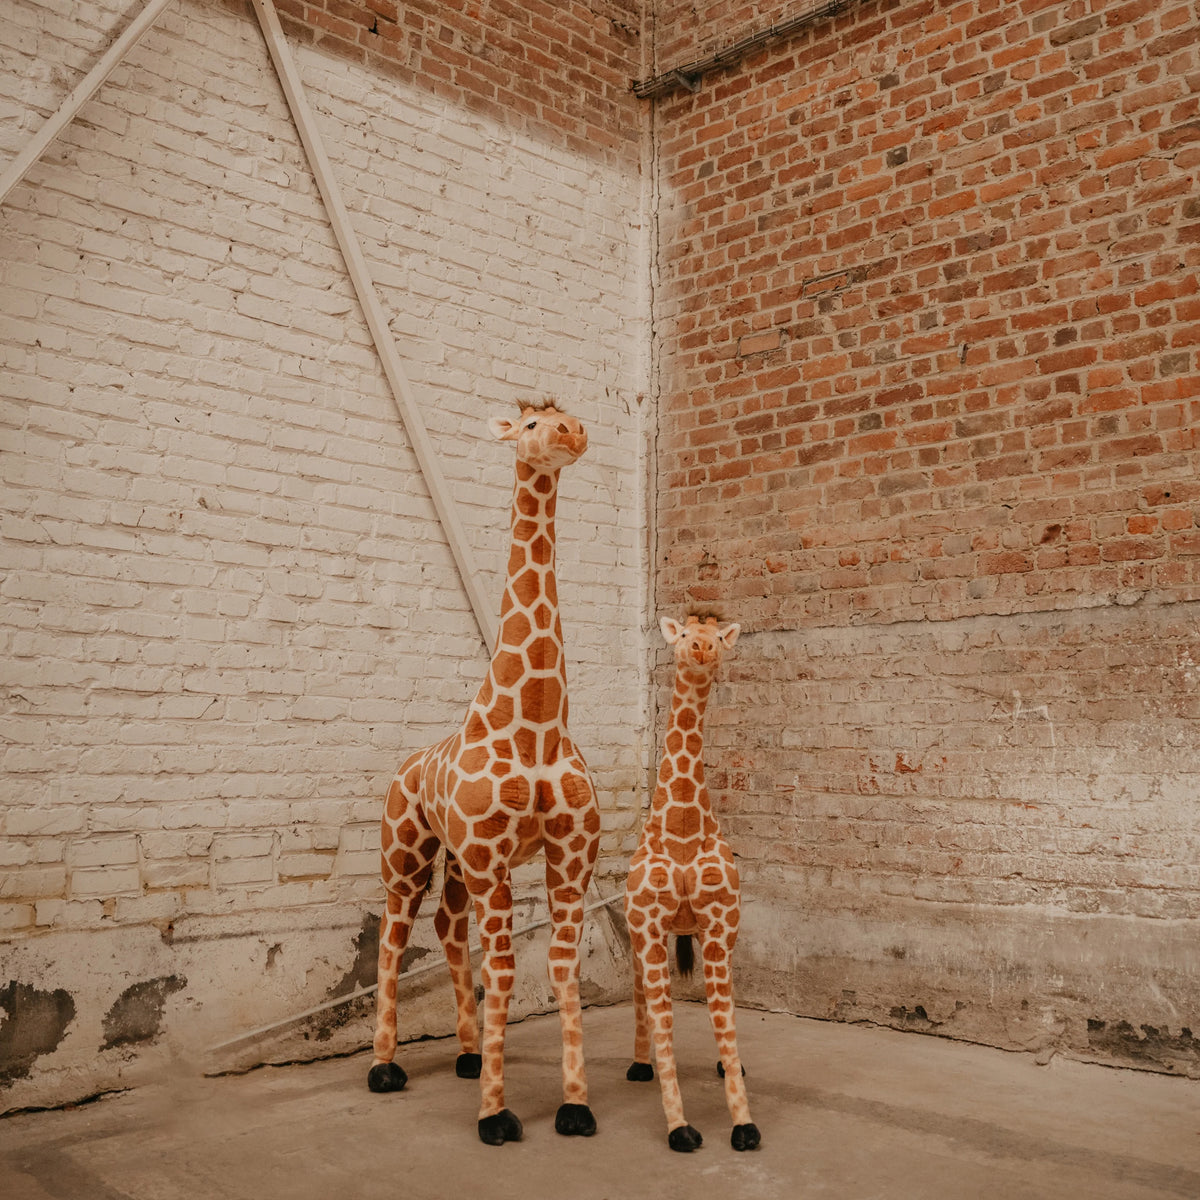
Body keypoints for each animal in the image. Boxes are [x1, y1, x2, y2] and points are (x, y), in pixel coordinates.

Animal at [367, 403, 601, 1147]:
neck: (534, 726)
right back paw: (384, 1067)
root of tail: (406, 765)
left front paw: (575, 1106)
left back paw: (469, 1055)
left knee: (447, 927)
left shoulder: (569, 854)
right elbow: (503, 967)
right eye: (529, 424)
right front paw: (496, 1117)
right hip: (406, 853)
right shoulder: (492, 854)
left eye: (567, 416)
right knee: (393, 935)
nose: (572, 434)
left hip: (454, 862)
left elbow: (561, 966)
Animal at [624, 614, 760, 1153]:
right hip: (642, 934)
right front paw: (679, 1127)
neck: (681, 833)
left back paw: (729, 1066)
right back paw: (640, 1065)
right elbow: (664, 1019)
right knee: (642, 995)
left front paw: (743, 1122)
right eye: (682, 635)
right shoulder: (648, 924)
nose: (702, 649)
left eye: (719, 637)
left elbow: (723, 1014)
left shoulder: (720, 924)